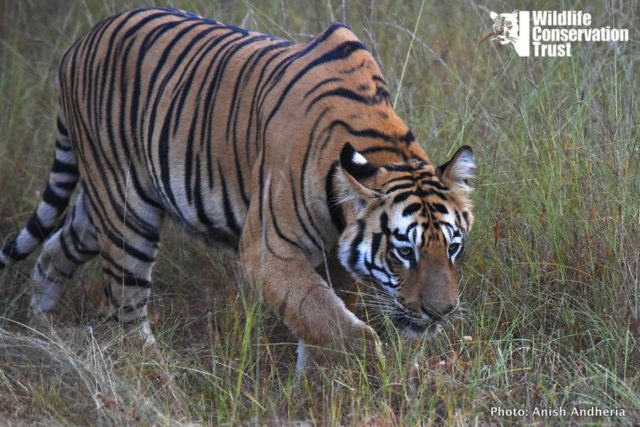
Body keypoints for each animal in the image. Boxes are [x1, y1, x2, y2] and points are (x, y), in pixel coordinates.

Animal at [0, 7, 475, 363]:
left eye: (453, 247)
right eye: (404, 252)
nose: (440, 313)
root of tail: (76, 45)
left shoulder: (336, 261)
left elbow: (318, 319)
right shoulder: (269, 248)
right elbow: (327, 318)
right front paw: (363, 371)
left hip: (102, 202)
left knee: (54, 250)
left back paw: (41, 329)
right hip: (127, 213)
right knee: (126, 304)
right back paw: (155, 369)